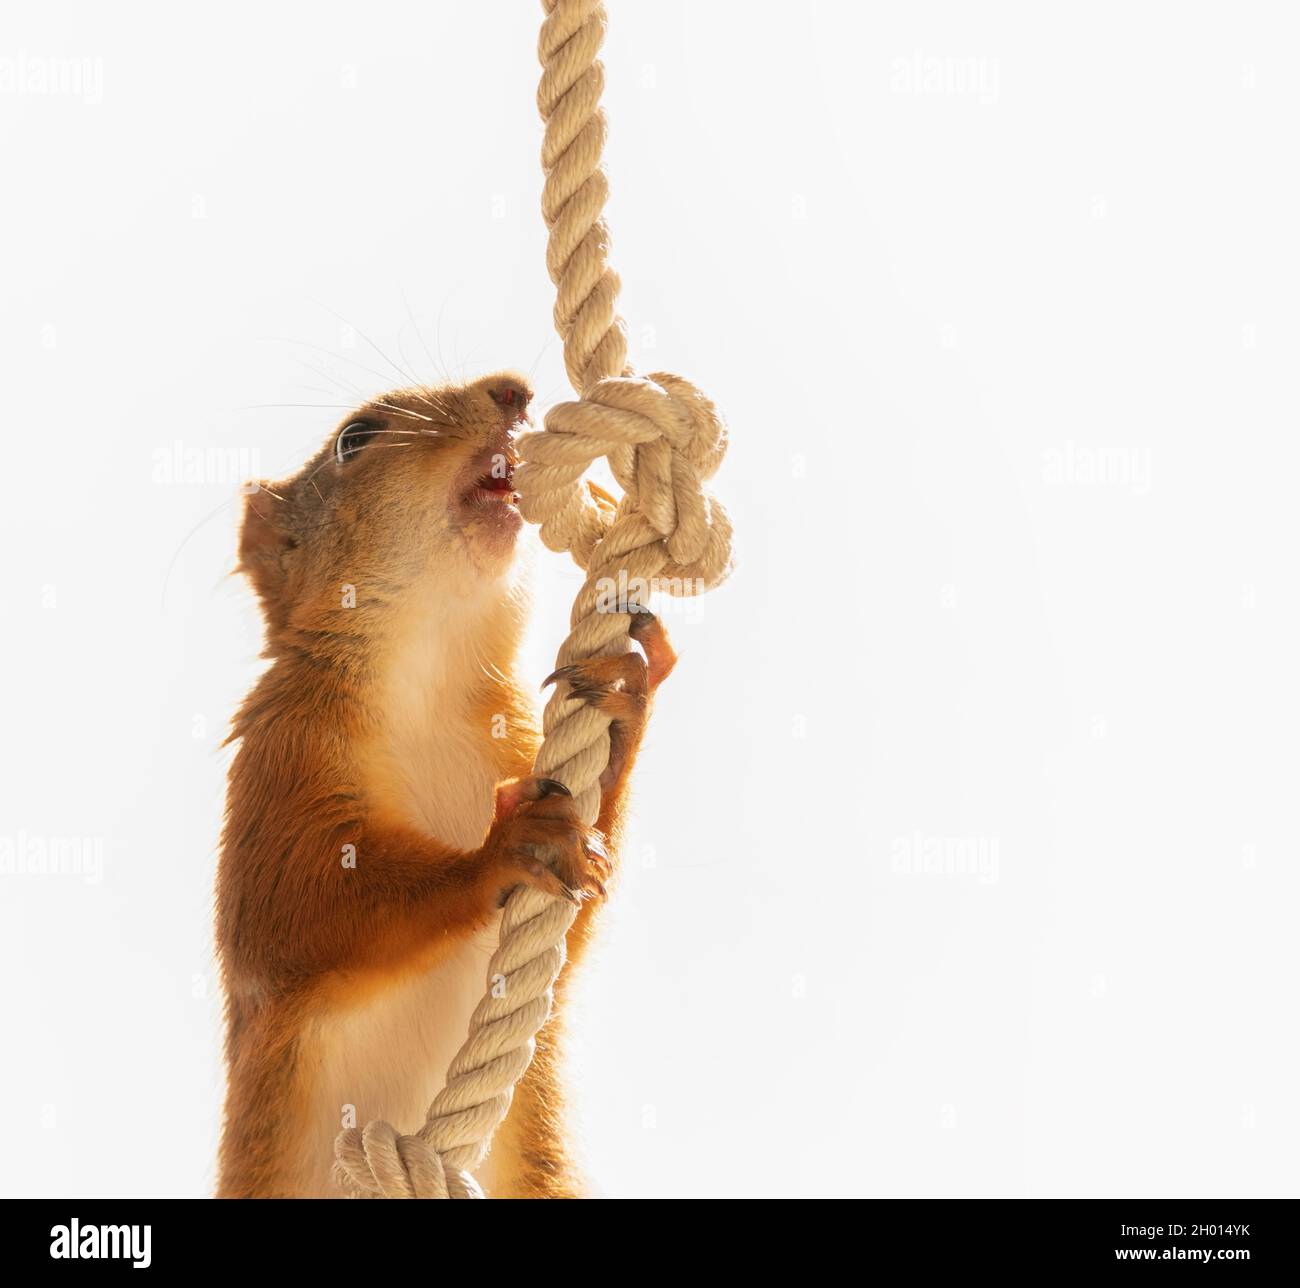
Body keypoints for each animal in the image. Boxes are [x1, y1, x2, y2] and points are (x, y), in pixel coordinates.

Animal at [215, 372, 675, 1198]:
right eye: (356, 438)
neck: (431, 672)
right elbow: (292, 917)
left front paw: (627, 695)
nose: (513, 391)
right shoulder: (274, 768)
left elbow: (575, 926)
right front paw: (501, 850)